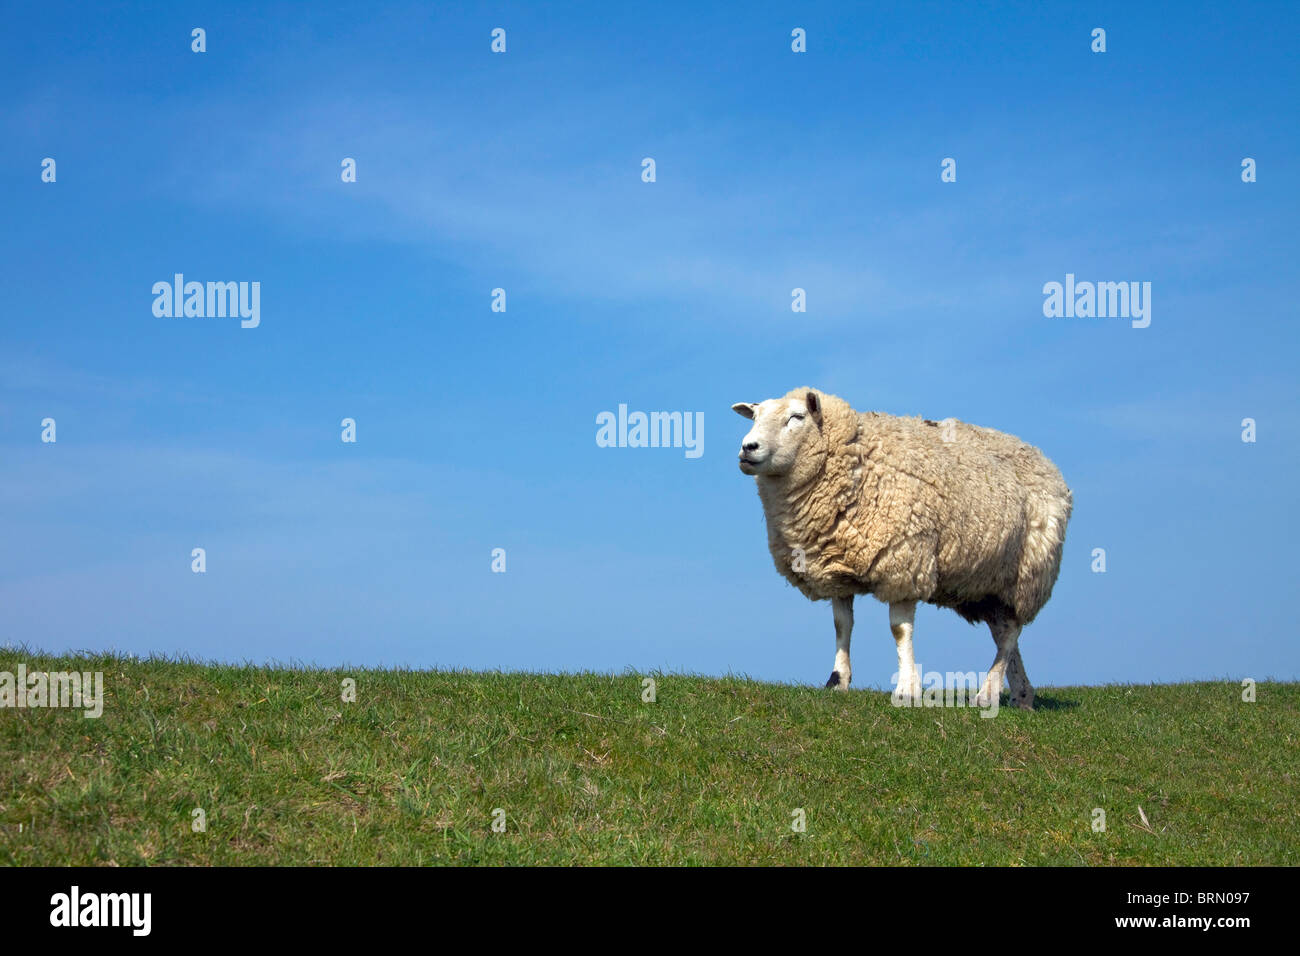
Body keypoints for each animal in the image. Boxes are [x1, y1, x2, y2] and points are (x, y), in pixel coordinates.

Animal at [731, 387, 1072, 710]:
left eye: (797, 417)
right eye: (755, 417)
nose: (748, 448)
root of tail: (1044, 460)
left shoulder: (905, 562)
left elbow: (899, 630)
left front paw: (907, 689)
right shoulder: (836, 567)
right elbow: (842, 625)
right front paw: (838, 681)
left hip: (1028, 572)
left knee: (1011, 631)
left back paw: (987, 693)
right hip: (988, 583)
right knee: (1003, 631)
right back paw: (1022, 695)